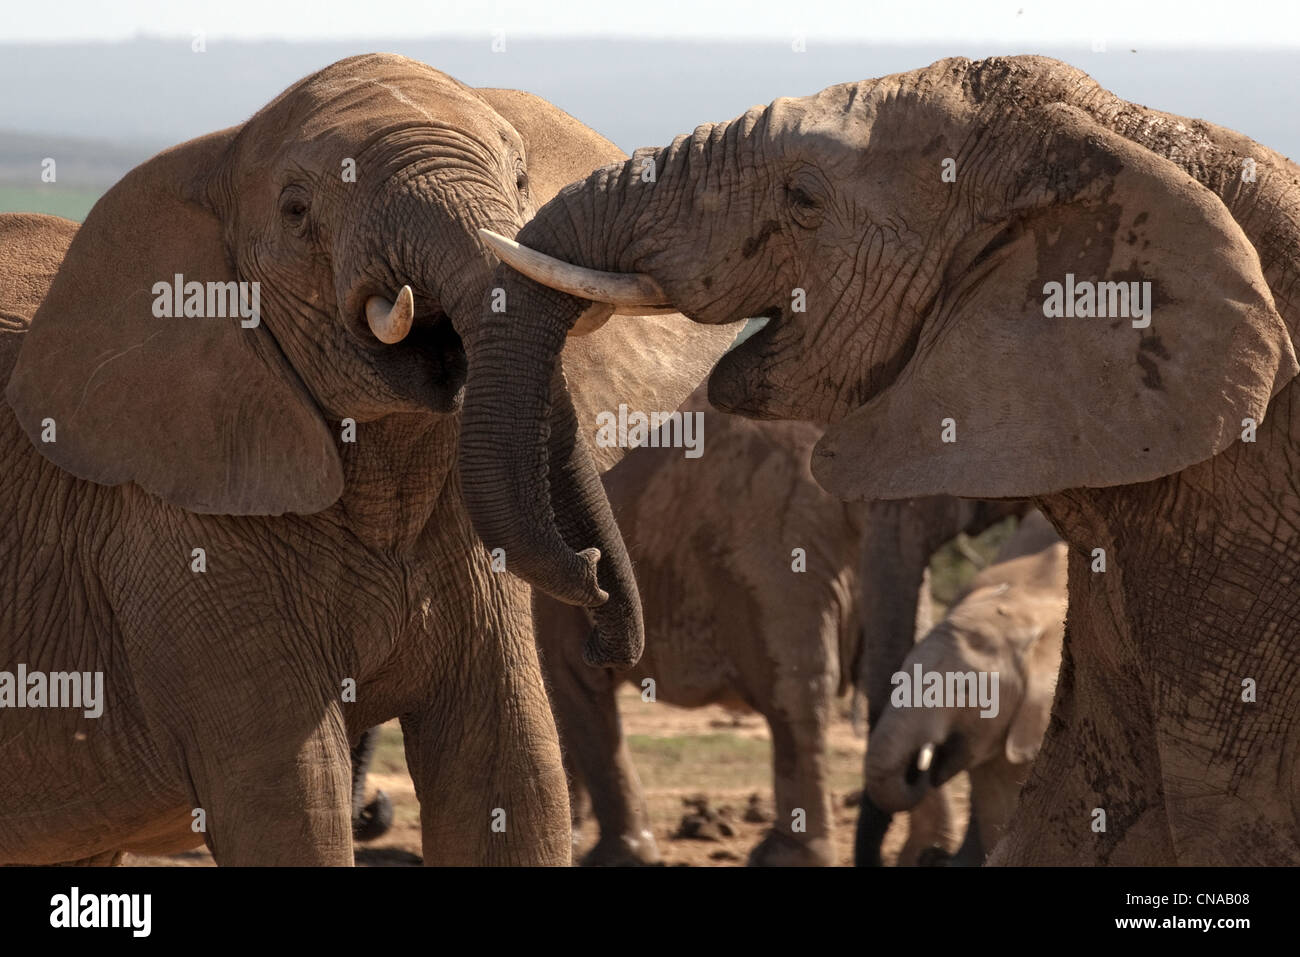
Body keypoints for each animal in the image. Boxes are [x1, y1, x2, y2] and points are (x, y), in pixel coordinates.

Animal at [0, 54, 737, 866]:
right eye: (295, 212)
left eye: (519, 178)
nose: (601, 593)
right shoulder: (178, 538)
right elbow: (292, 805)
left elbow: (511, 778)